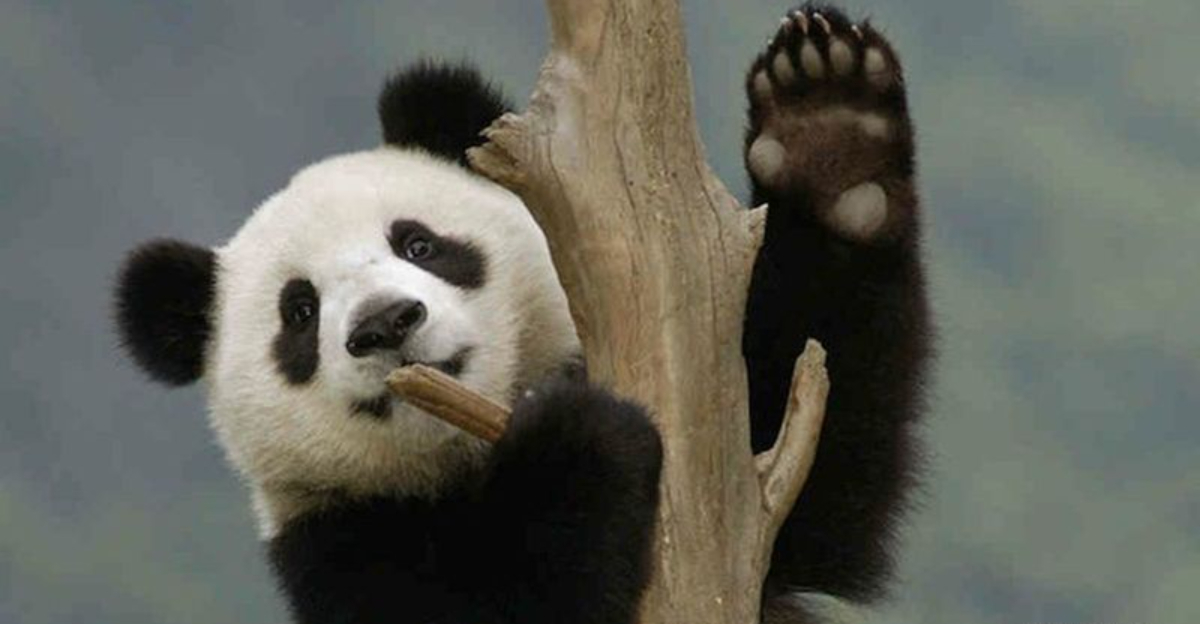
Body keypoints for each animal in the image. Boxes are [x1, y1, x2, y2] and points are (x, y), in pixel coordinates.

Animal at [114, 5, 929, 624]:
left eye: (419, 243)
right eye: (300, 313)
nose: (387, 323)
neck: (465, 453)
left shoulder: (755, 518)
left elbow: (806, 465)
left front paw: (829, 134)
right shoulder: (339, 545)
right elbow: (519, 597)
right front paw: (579, 433)